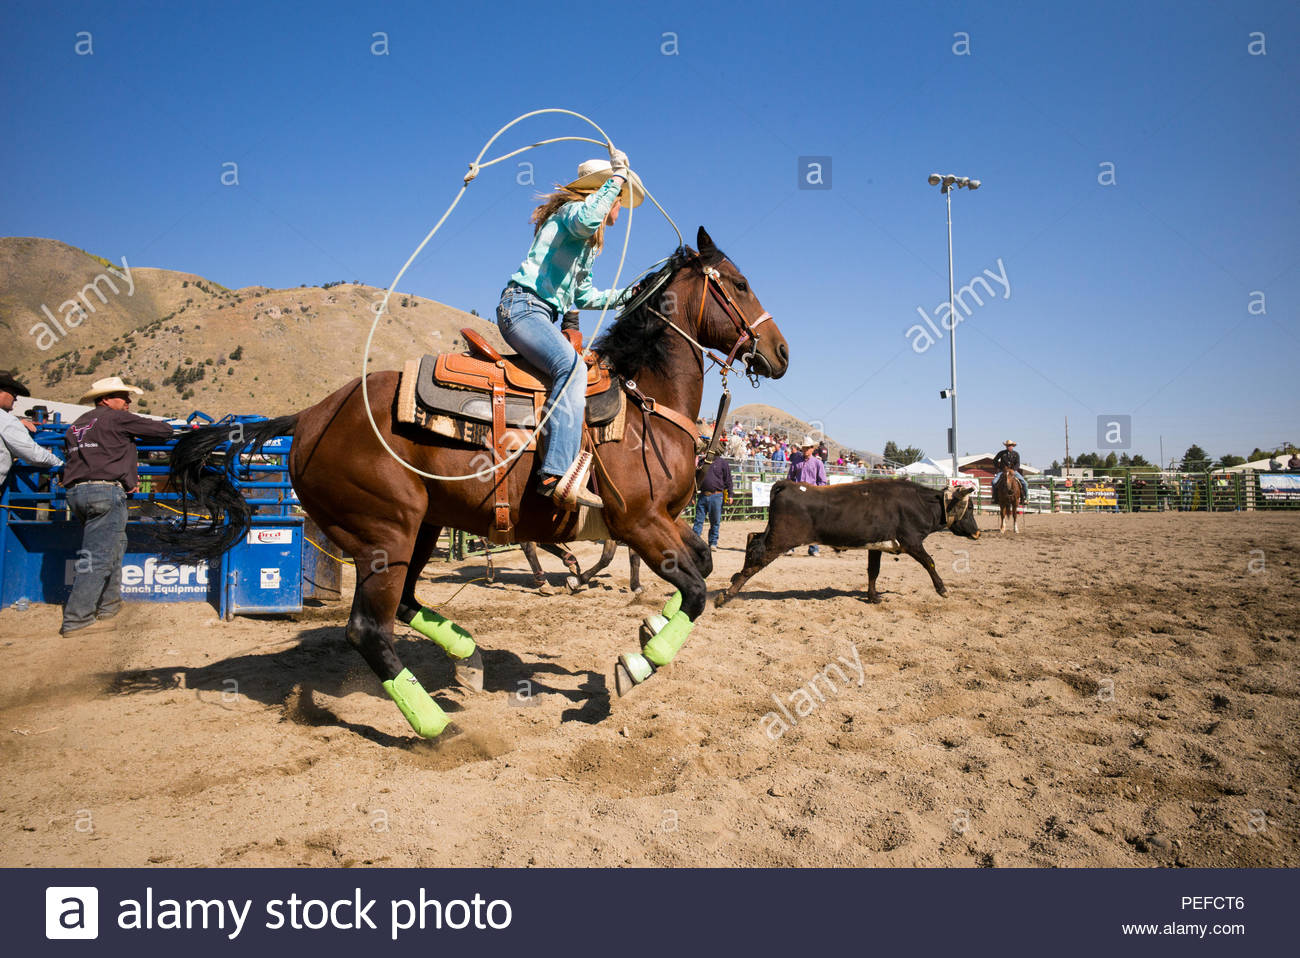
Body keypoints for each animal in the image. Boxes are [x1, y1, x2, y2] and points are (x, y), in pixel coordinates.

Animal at [714, 479, 980, 606]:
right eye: (969, 509)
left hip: (774, 535)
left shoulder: (876, 545)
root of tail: (788, 484)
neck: (918, 503)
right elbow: (929, 562)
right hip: (780, 539)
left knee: (752, 539)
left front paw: (873, 597)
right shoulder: (912, 542)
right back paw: (727, 595)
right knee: (756, 559)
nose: (977, 533)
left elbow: (874, 571)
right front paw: (942, 589)